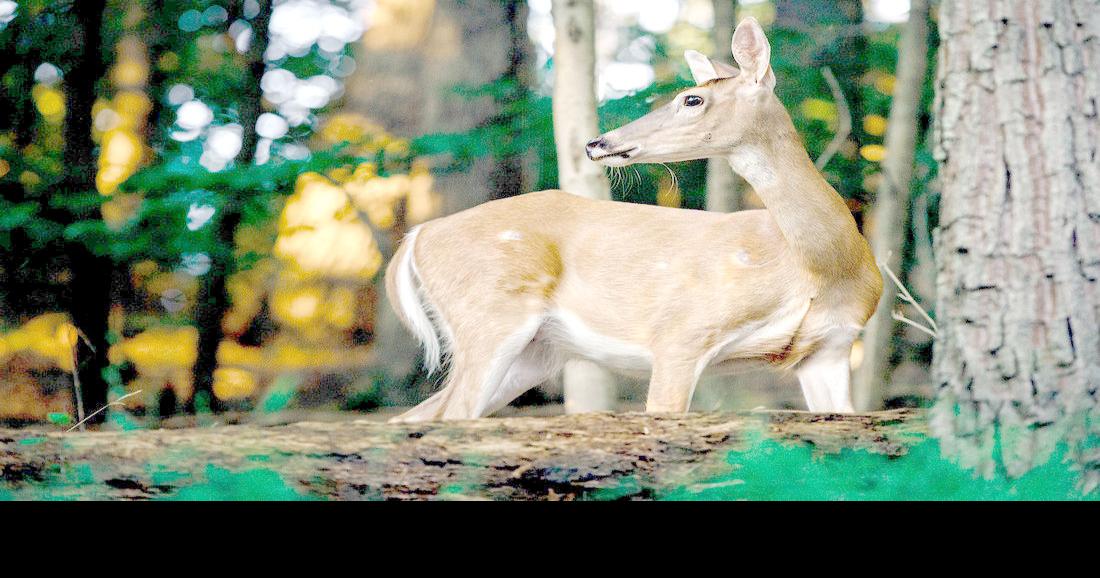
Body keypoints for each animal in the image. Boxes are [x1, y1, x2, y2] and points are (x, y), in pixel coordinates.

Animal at [384, 17, 882, 423]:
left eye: (692, 99)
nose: (597, 142)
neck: (818, 267)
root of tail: (418, 235)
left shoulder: (832, 348)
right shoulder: (682, 332)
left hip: (535, 351)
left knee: (418, 416)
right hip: (490, 313)